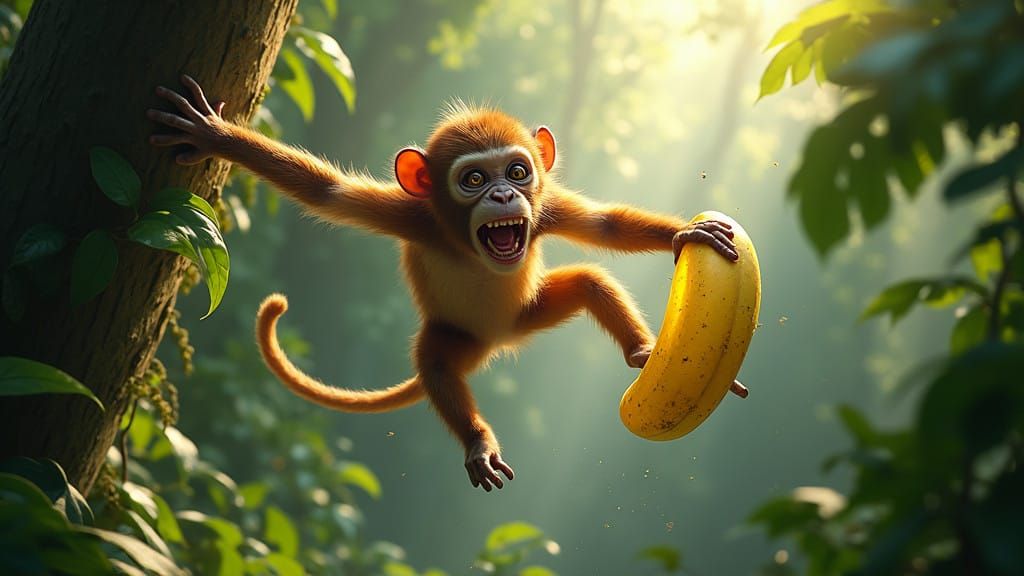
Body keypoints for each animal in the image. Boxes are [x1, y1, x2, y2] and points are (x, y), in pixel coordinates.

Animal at [148, 75, 744, 492]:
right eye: (474, 178)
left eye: (518, 172)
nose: (503, 195)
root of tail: (498, 342)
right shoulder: (413, 216)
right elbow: (326, 192)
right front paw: (217, 137)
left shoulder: (544, 209)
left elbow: (603, 225)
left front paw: (687, 233)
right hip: (463, 335)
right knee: (434, 360)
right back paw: (478, 442)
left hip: (530, 312)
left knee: (590, 282)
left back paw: (642, 354)